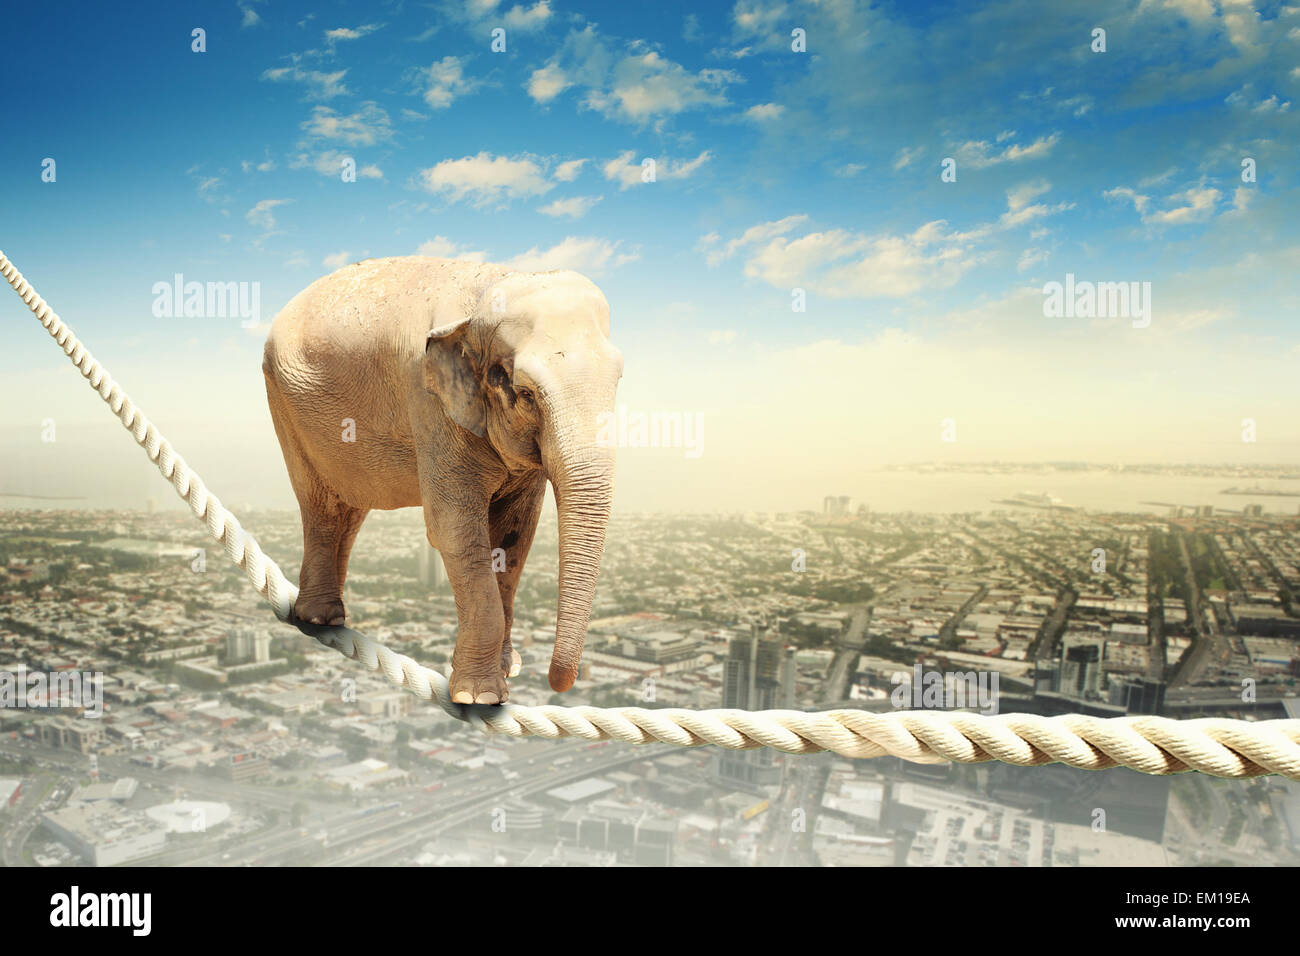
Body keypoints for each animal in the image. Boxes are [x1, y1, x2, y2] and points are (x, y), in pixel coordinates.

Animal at [262, 256, 622, 705]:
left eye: (619, 380)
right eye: (526, 393)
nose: (556, 682)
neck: (492, 283)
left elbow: (514, 535)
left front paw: (508, 670)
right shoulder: (429, 402)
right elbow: (453, 528)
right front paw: (479, 697)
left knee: (351, 506)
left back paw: (328, 618)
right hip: (285, 405)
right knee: (321, 504)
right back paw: (318, 618)